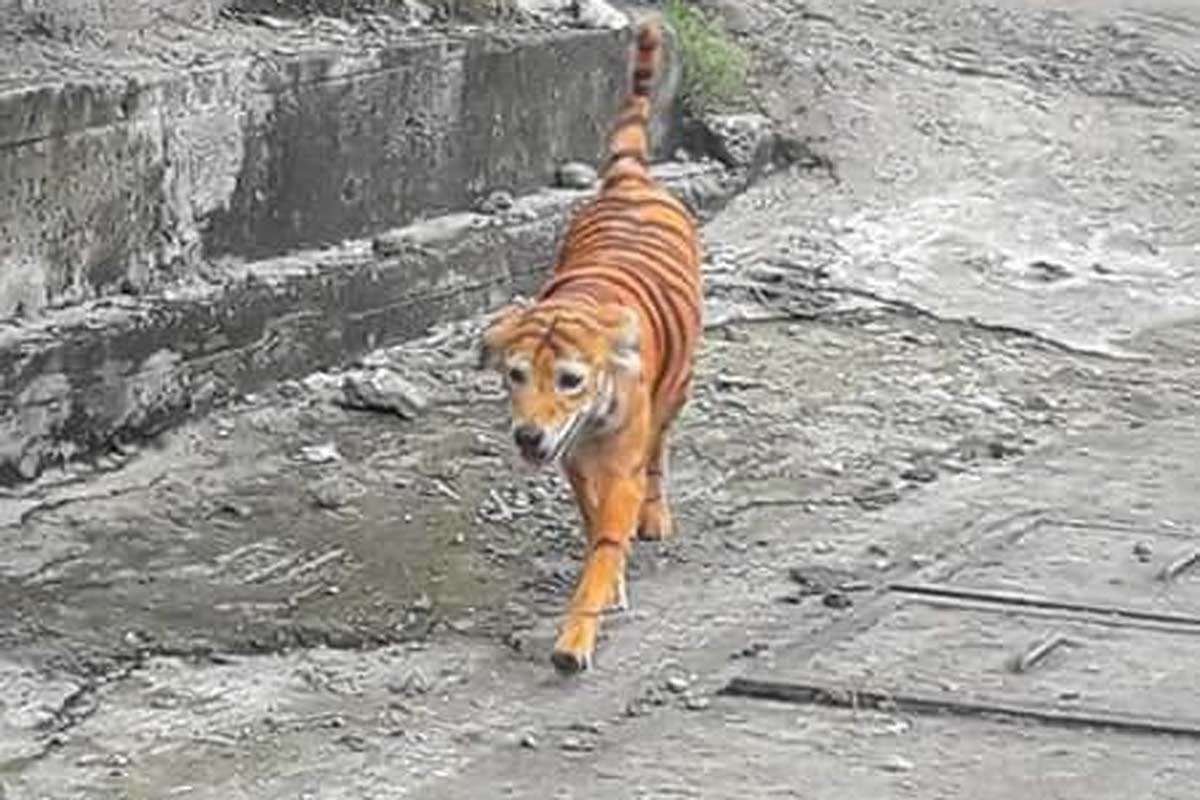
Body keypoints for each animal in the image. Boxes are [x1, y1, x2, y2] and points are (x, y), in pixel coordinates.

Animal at [478, 18, 703, 674]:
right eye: (515, 375)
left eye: (570, 380)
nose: (528, 436)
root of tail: (630, 179)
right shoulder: (575, 460)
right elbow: (591, 518)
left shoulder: (619, 464)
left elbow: (606, 541)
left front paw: (575, 638)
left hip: (676, 392)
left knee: (660, 452)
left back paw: (656, 515)